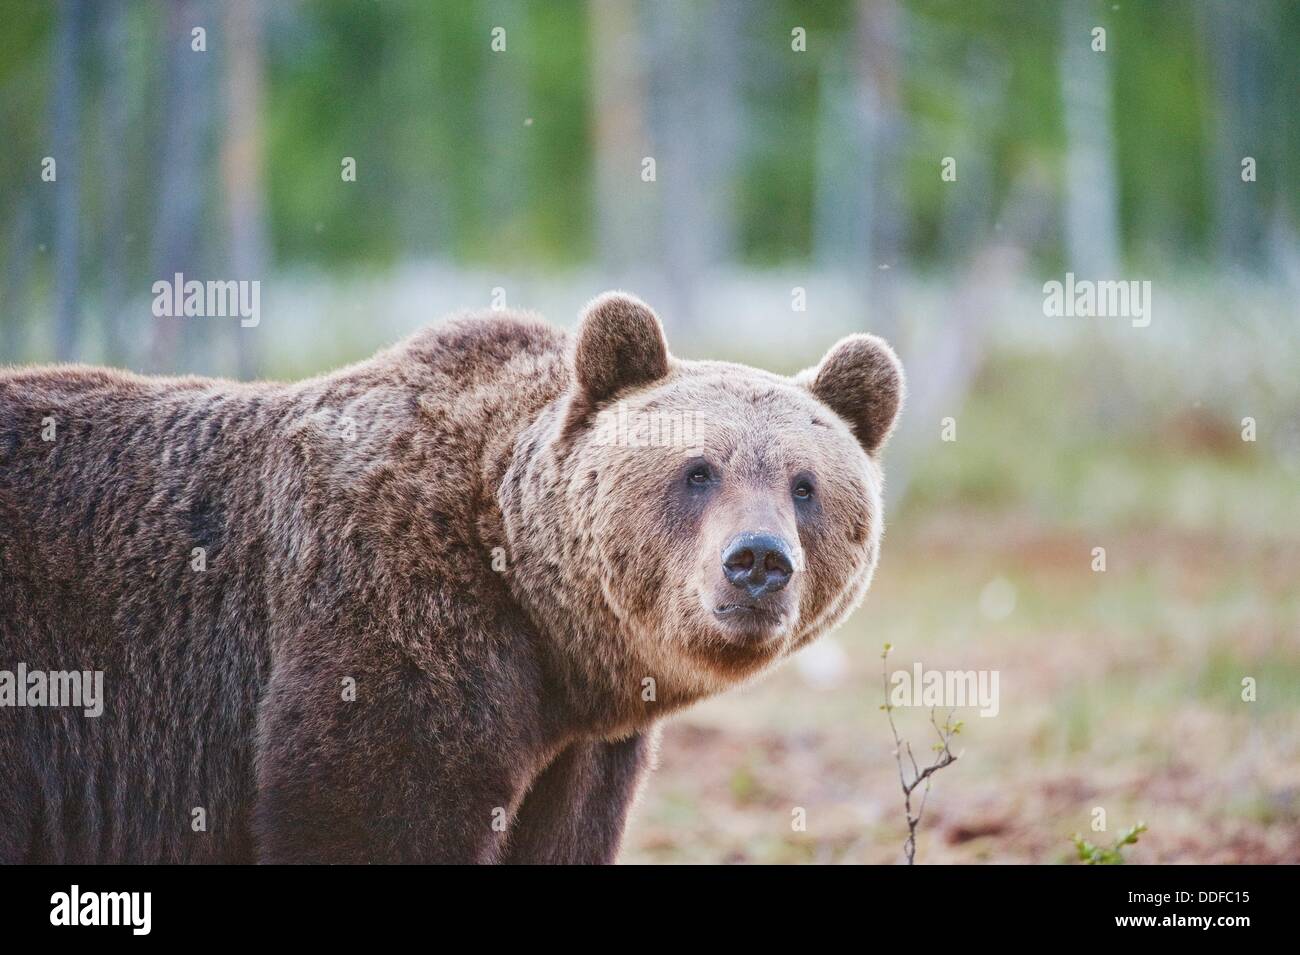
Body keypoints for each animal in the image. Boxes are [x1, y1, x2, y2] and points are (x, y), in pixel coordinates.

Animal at [0, 291, 904, 864]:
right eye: (698, 469)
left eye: (804, 484)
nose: (758, 560)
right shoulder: (392, 624)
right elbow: (372, 817)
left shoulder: (580, 758)